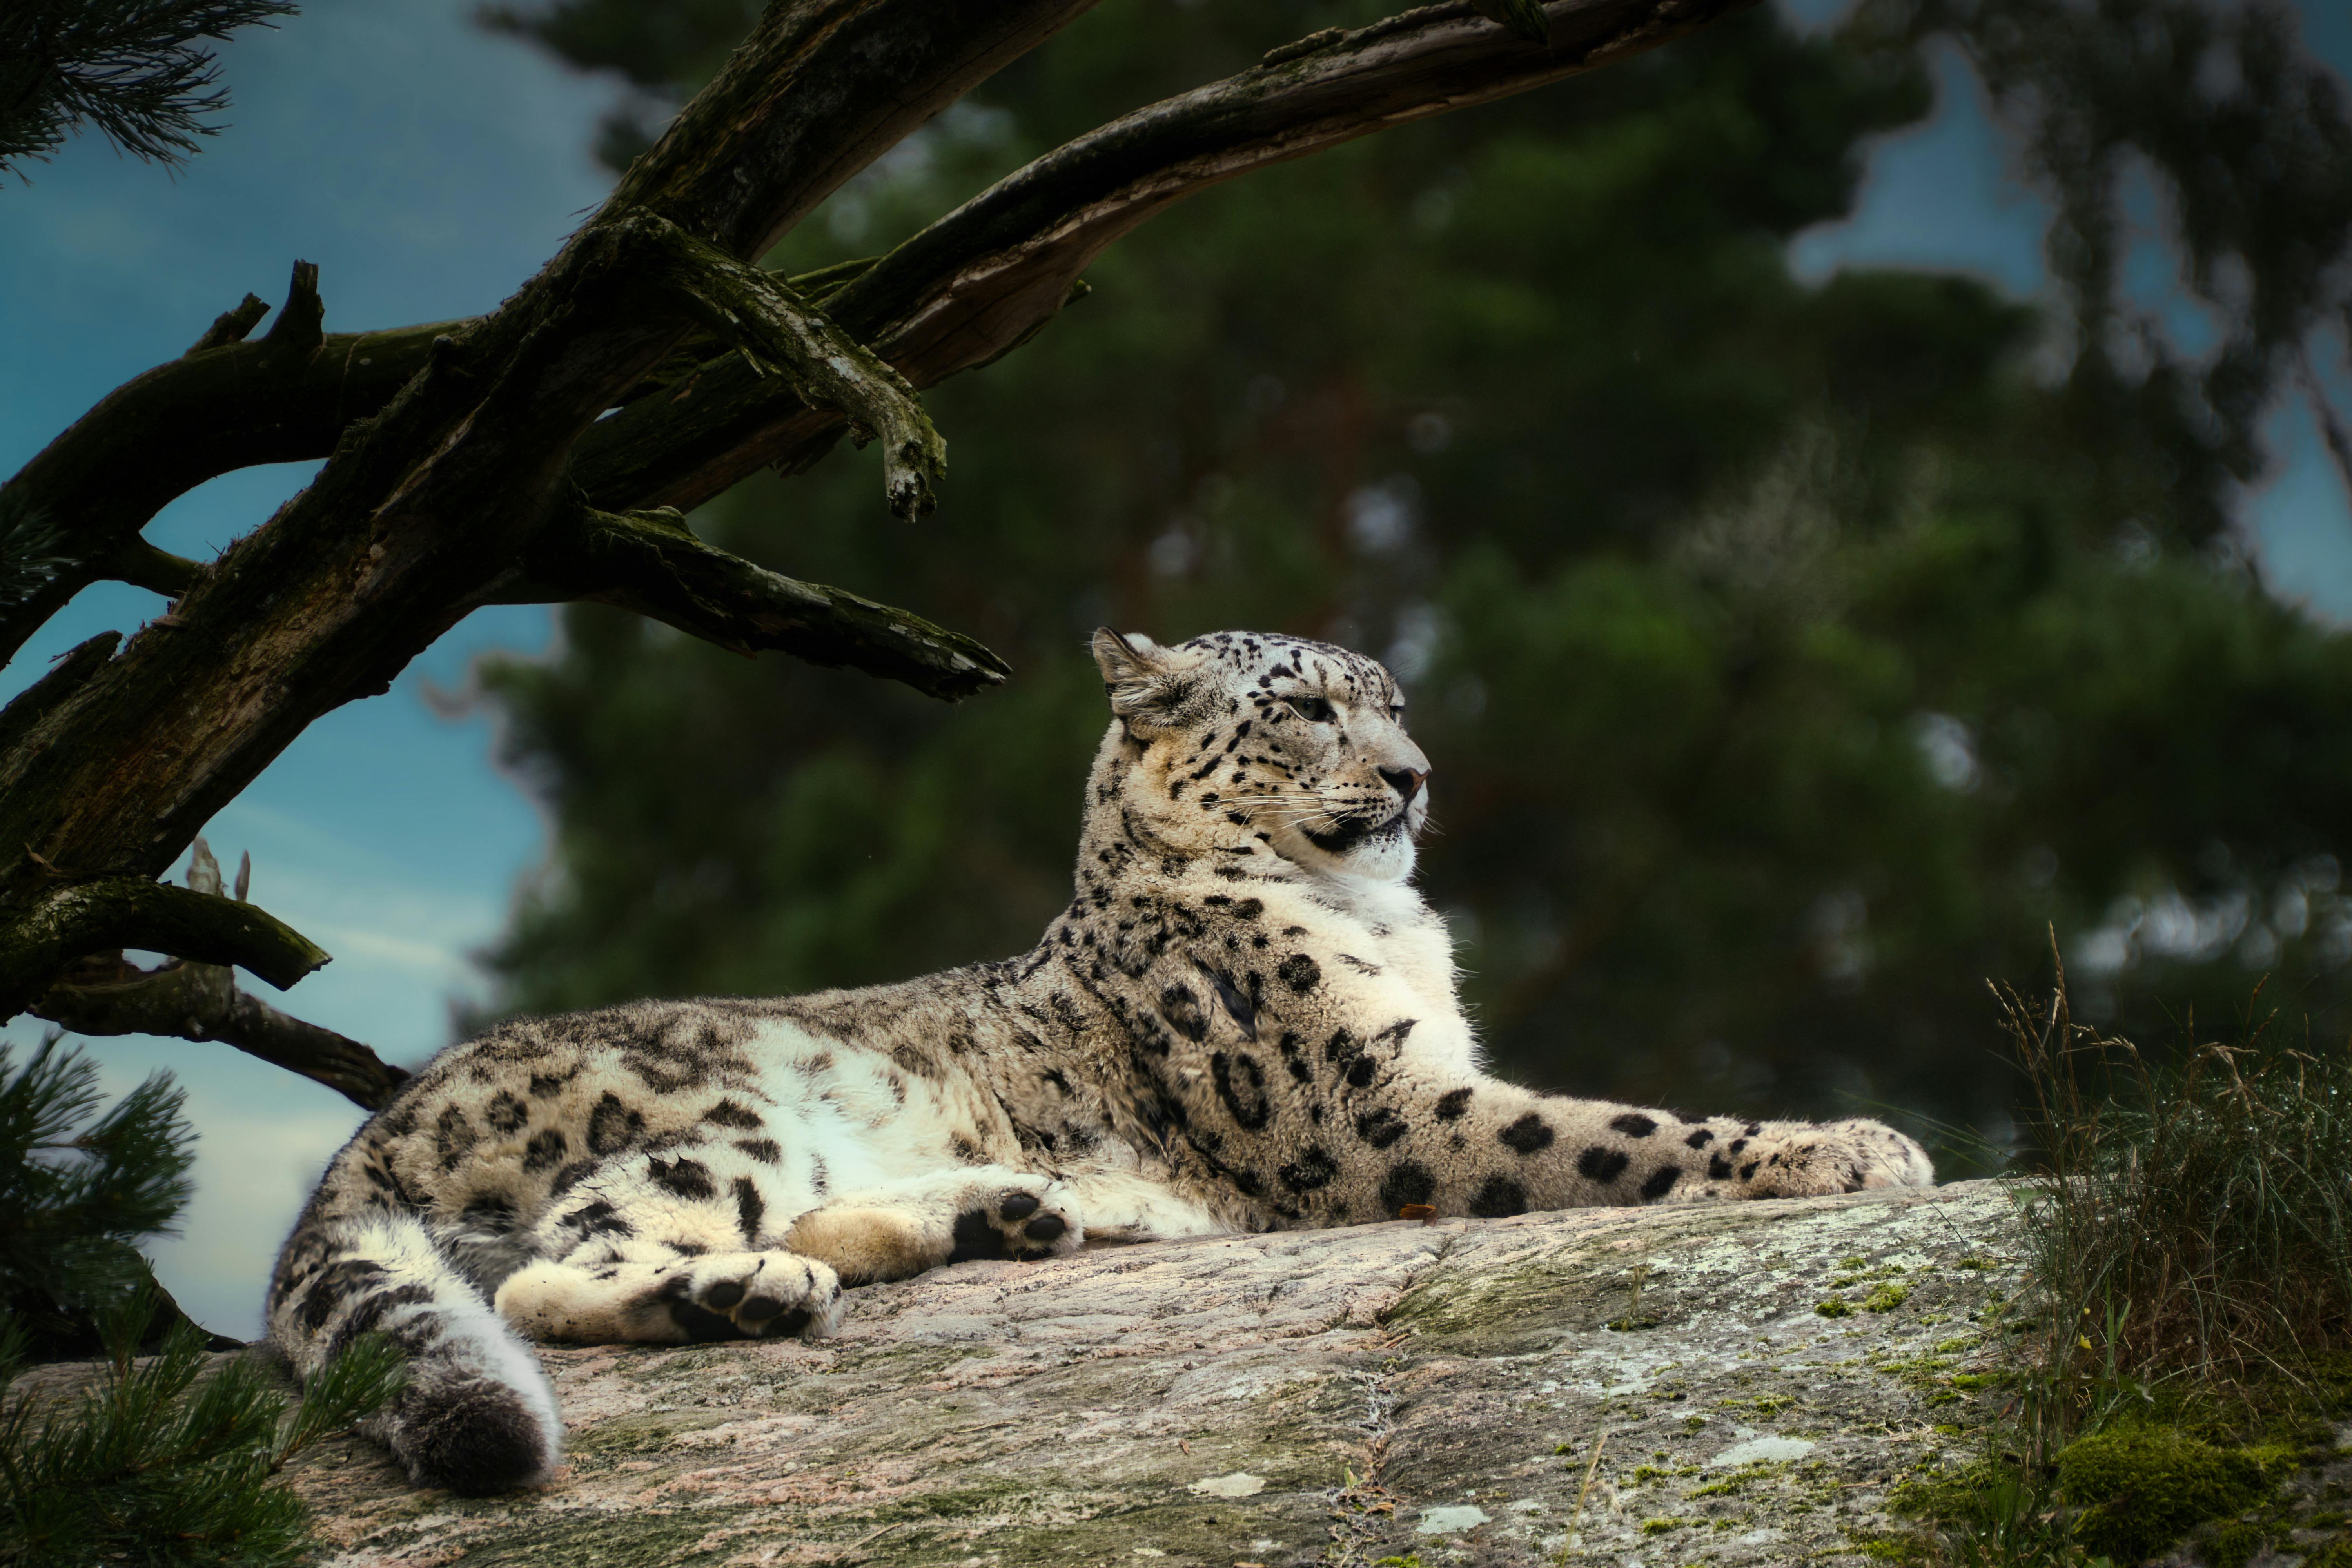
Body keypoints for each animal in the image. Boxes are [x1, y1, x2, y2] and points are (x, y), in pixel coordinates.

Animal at [266, 627, 1933, 1495]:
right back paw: (744, 1293)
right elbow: (1604, 1130)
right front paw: (1845, 1143)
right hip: (718, 1108)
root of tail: (383, 1116)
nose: (1413, 777)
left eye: (1394, 703)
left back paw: (1006, 1211)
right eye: (1305, 707)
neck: (1388, 928)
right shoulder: (1374, 1108)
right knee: (563, 1262)